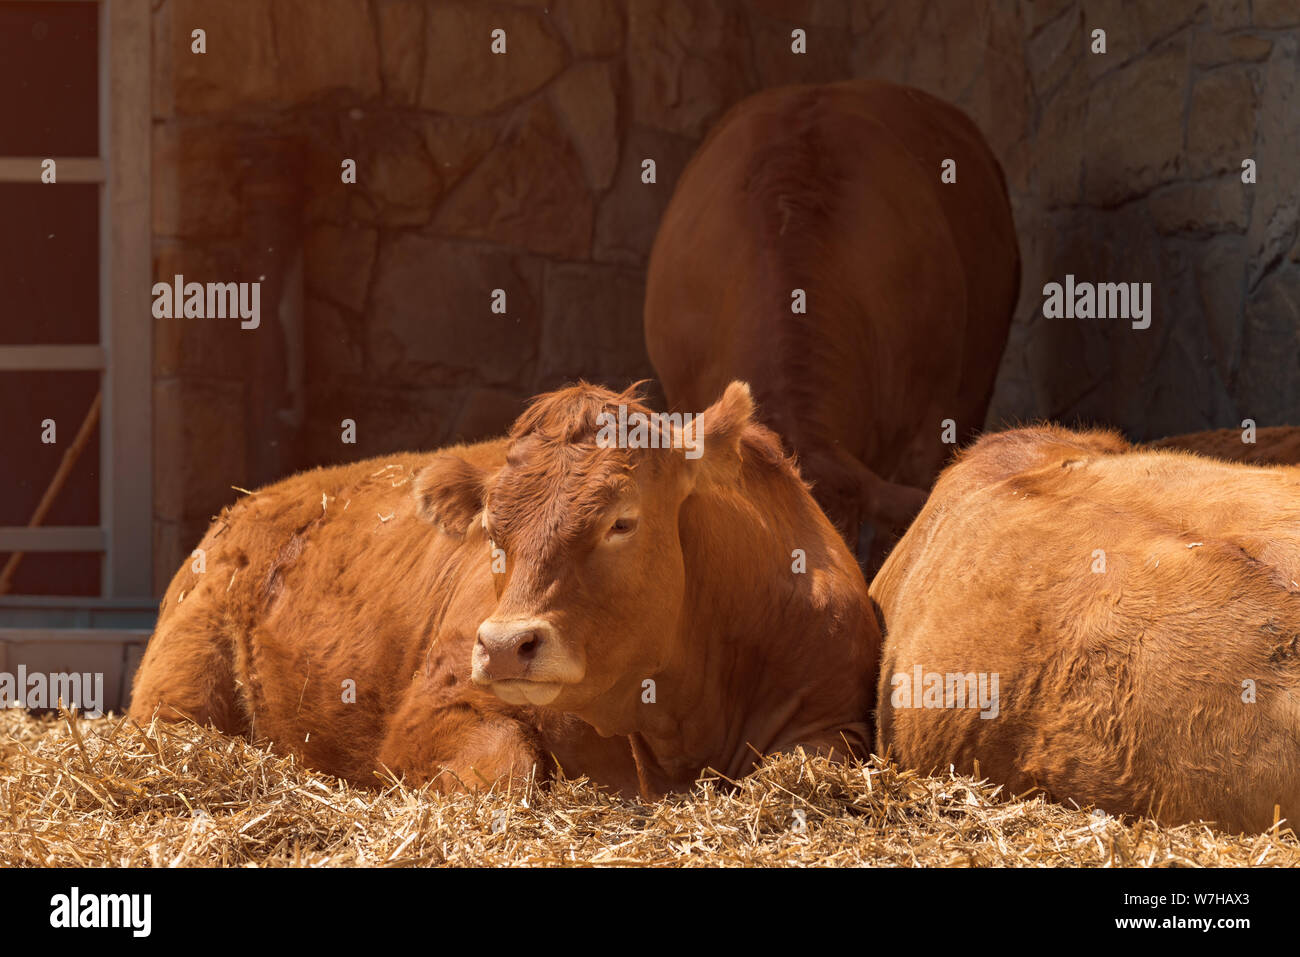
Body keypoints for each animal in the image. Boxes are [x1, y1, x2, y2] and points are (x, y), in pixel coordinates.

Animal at [129, 382, 883, 800]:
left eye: (622, 520)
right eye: (493, 530)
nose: (503, 644)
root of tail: (250, 503)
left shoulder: (832, 719)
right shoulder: (434, 709)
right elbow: (508, 768)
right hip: (179, 694)